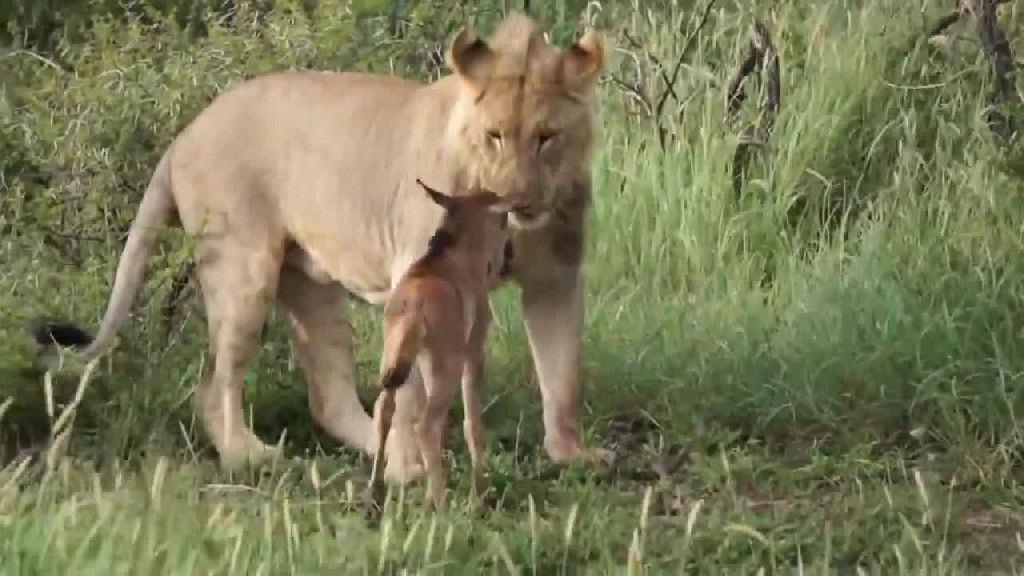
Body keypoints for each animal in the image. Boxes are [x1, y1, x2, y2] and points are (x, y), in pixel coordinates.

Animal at [31, 12, 611, 480]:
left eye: (546, 137)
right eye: (495, 136)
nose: (520, 198)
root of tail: (185, 132)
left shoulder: (556, 277)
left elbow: (563, 371)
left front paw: (571, 455)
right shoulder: (416, 272)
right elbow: (418, 390)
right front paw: (422, 463)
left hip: (310, 285)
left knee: (329, 396)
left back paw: (384, 455)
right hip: (242, 269)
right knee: (216, 385)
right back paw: (255, 457)